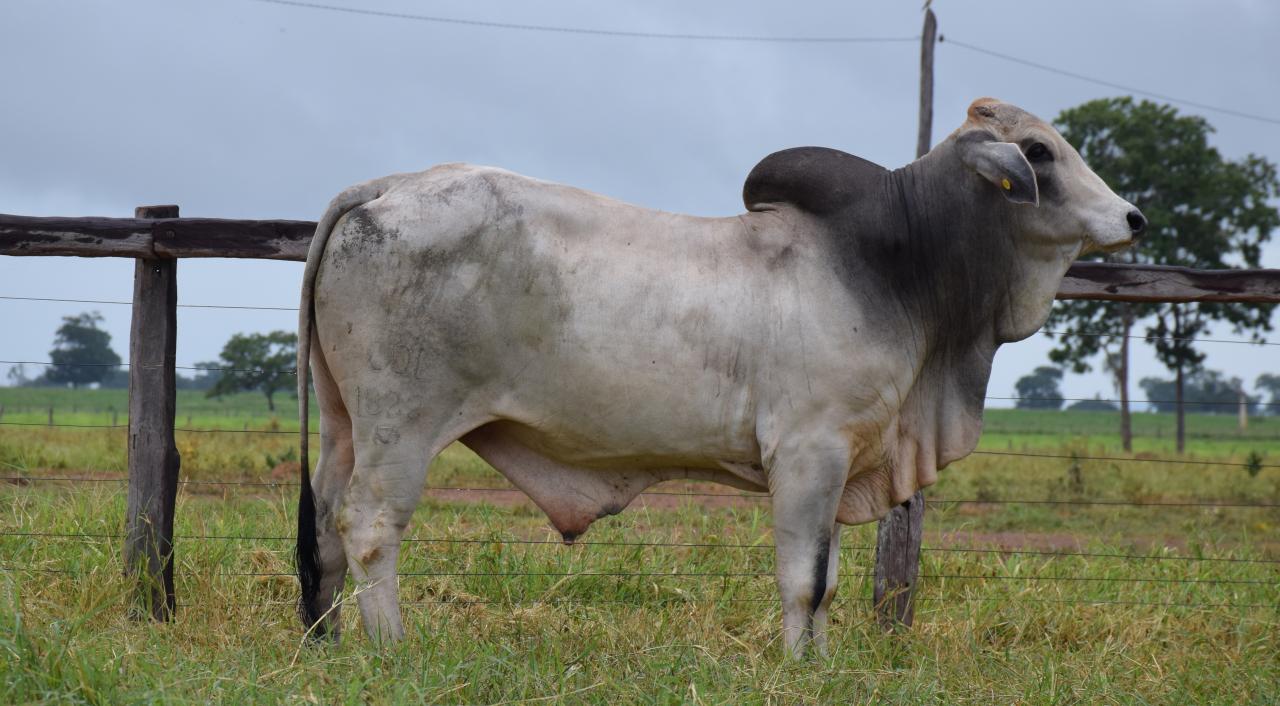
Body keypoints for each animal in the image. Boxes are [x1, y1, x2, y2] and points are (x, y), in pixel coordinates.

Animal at [293, 97, 1141, 654]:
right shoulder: (808, 452)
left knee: (326, 521)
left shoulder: (840, 461)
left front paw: (819, 663)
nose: (1132, 218)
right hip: (401, 425)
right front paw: (798, 667)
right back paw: (392, 646)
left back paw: (327, 643)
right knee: (369, 524)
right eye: (1039, 153)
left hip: (343, 420)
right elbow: (804, 579)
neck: (894, 261)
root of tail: (389, 184)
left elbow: (828, 581)